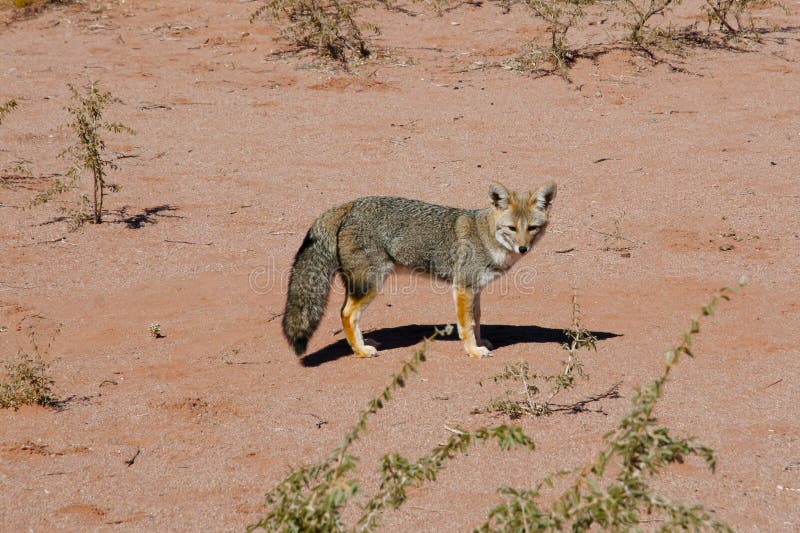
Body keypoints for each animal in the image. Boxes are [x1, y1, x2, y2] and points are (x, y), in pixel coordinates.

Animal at [282, 181, 556, 359]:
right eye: (511, 228)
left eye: (532, 228)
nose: (523, 248)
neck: (484, 234)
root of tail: (349, 204)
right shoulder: (463, 288)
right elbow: (465, 325)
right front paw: (473, 350)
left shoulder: (475, 289)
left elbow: (476, 320)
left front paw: (480, 342)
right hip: (371, 284)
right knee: (346, 314)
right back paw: (360, 351)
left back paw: (362, 342)